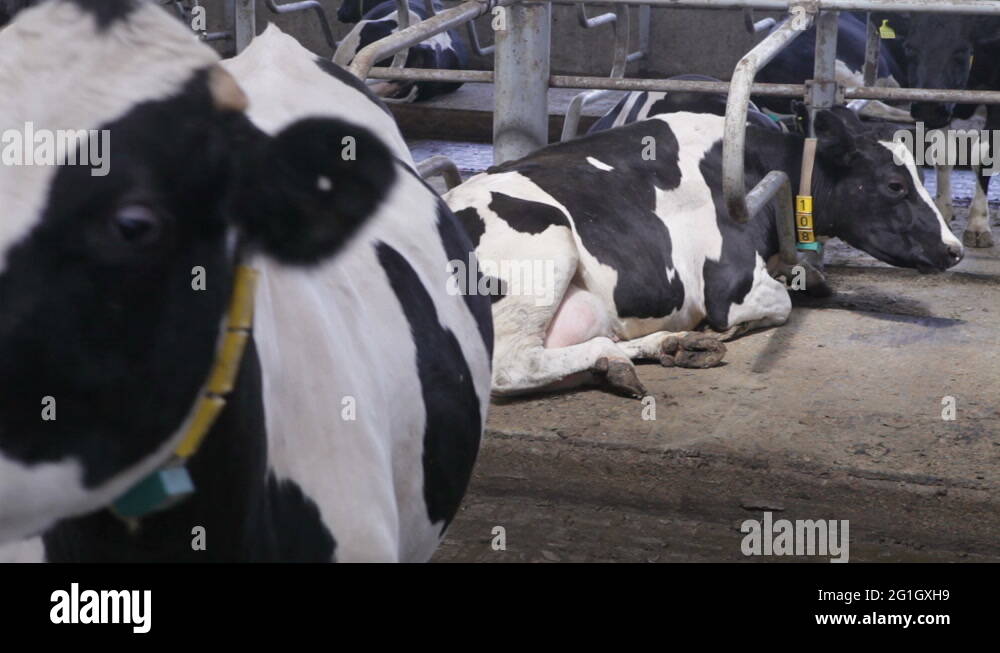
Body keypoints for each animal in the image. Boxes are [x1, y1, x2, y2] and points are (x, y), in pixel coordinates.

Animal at [444, 107, 964, 398]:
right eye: (895, 185)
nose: (954, 249)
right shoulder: (729, 284)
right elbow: (780, 303)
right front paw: (734, 329)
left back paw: (659, 349)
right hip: (543, 254)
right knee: (513, 367)